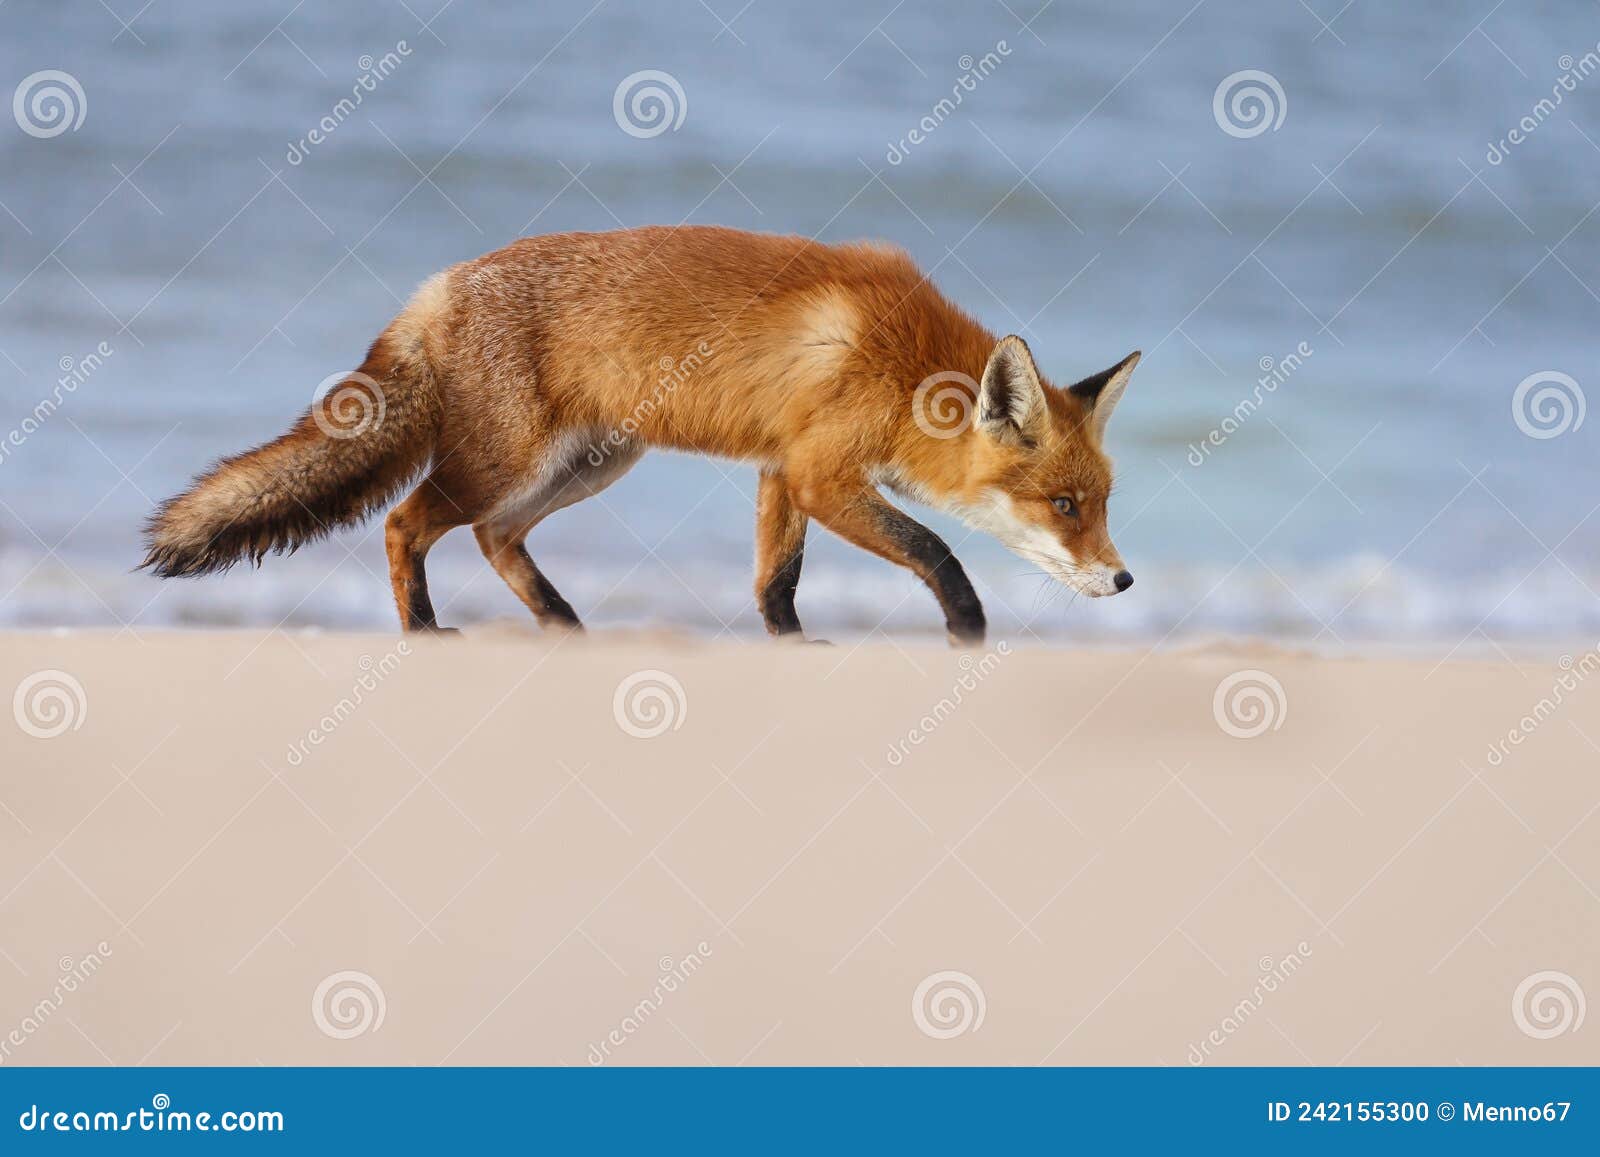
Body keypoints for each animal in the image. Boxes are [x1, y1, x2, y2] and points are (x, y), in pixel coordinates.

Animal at [141, 225, 1139, 645]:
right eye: (1063, 504)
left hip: (587, 465)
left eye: (1103, 503)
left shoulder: (783, 469)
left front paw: (791, 647)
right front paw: (968, 633)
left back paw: (564, 625)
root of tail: (439, 284)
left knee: (494, 537)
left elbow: (776, 581)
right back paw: (423, 629)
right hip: (503, 461)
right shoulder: (822, 474)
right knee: (406, 524)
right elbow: (939, 552)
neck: (904, 359)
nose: (1126, 579)